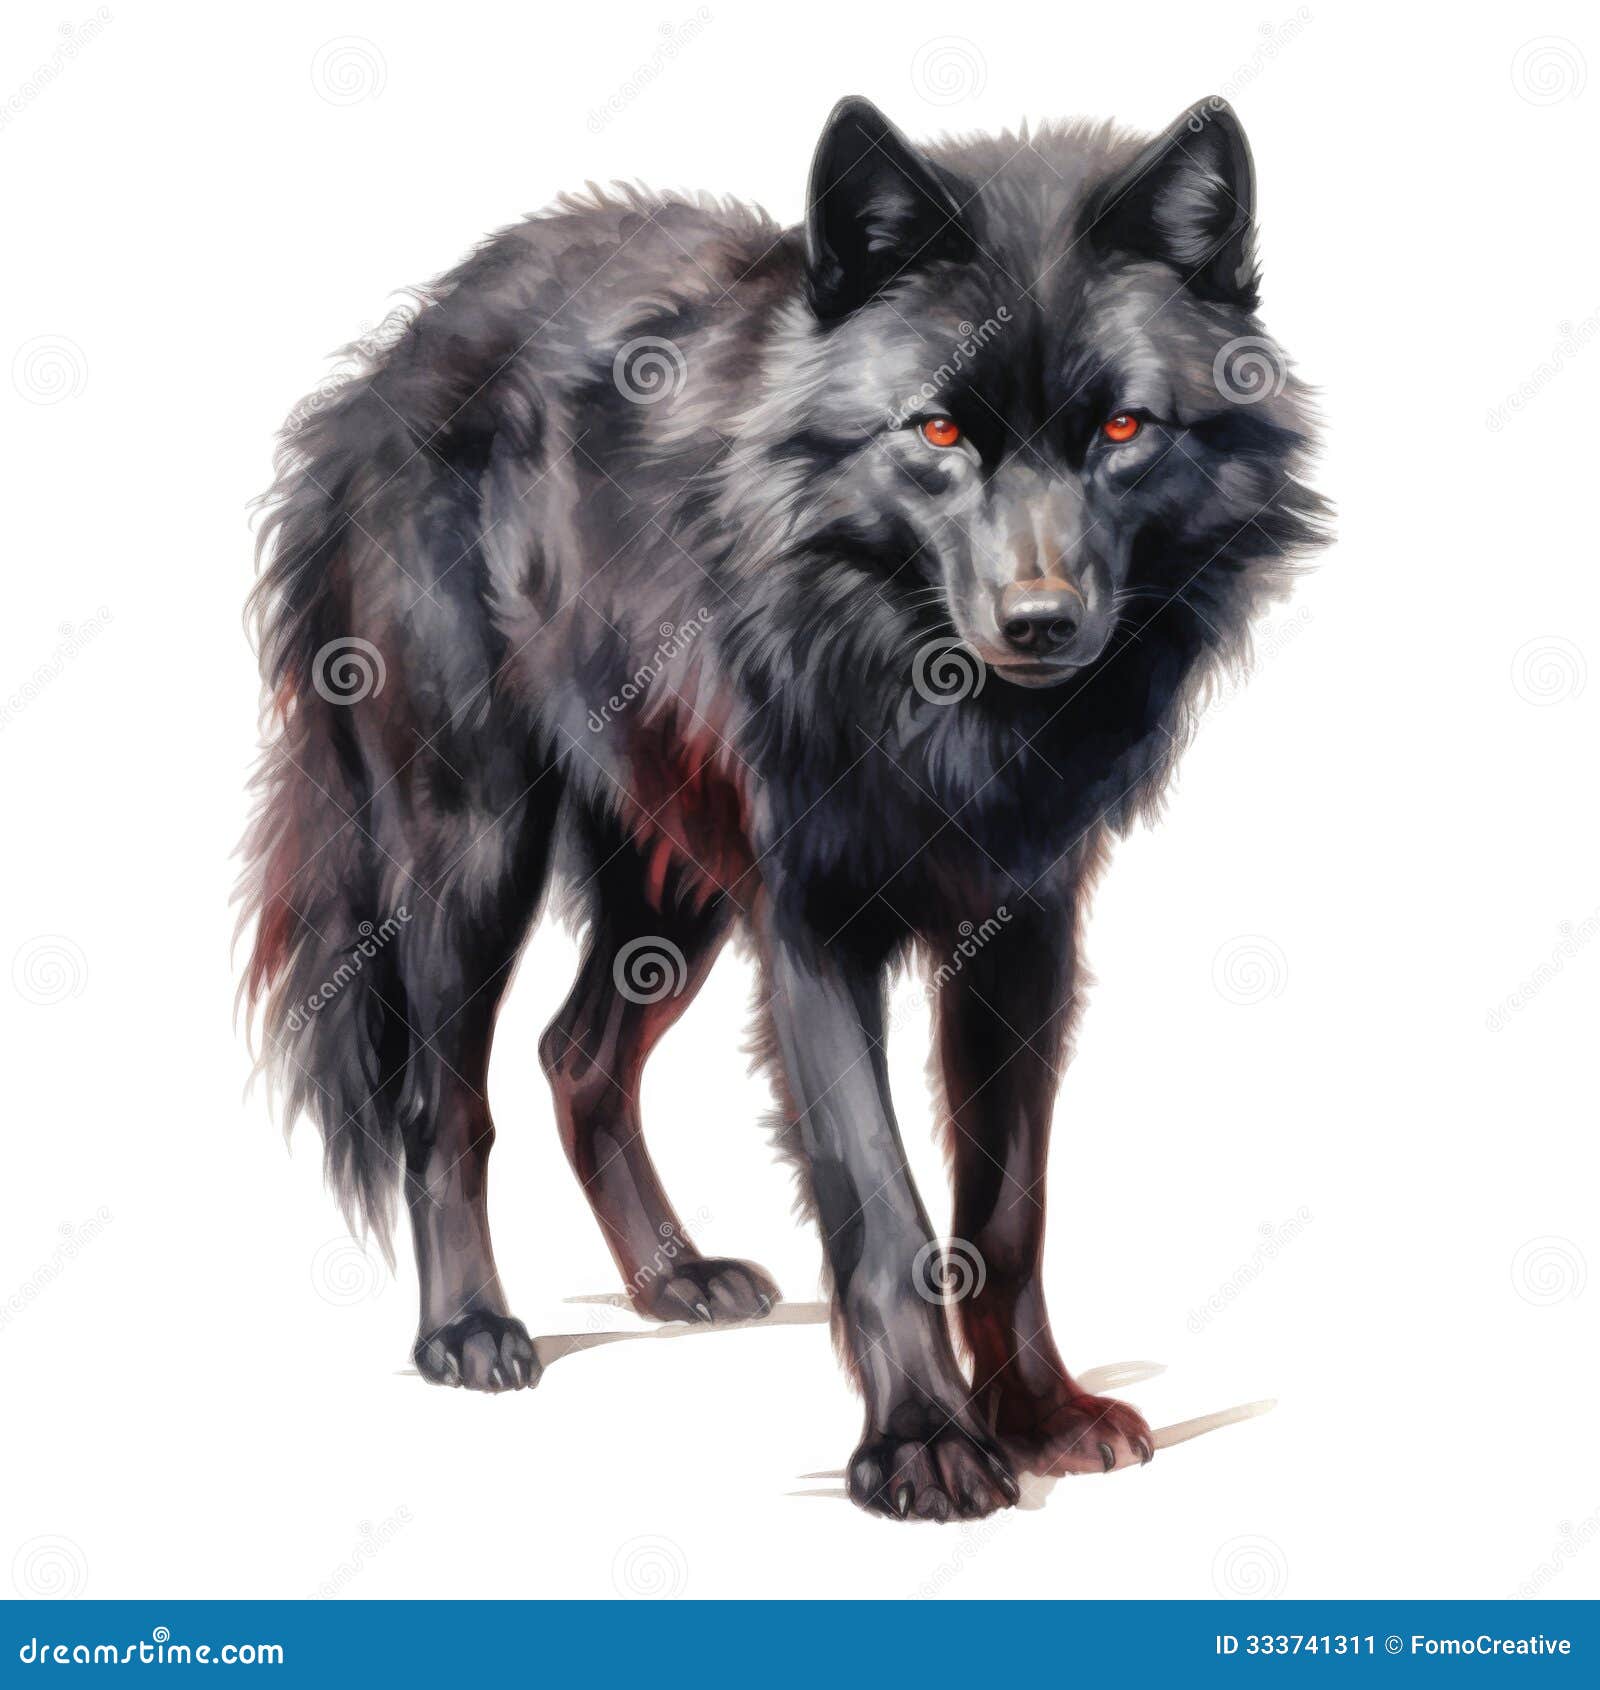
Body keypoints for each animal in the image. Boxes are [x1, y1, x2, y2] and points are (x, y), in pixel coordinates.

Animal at [240, 94, 1327, 1520]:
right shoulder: (815, 927)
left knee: (575, 1055)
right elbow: (881, 1200)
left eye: (1123, 430)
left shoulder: (1023, 931)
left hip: (674, 886)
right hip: (476, 850)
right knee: (444, 1101)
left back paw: (671, 1277)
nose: (1041, 620)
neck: (936, 697)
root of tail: (396, 359)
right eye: (936, 434)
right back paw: (469, 1329)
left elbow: (1007, 1207)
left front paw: (1037, 1417)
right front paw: (923, 1445)